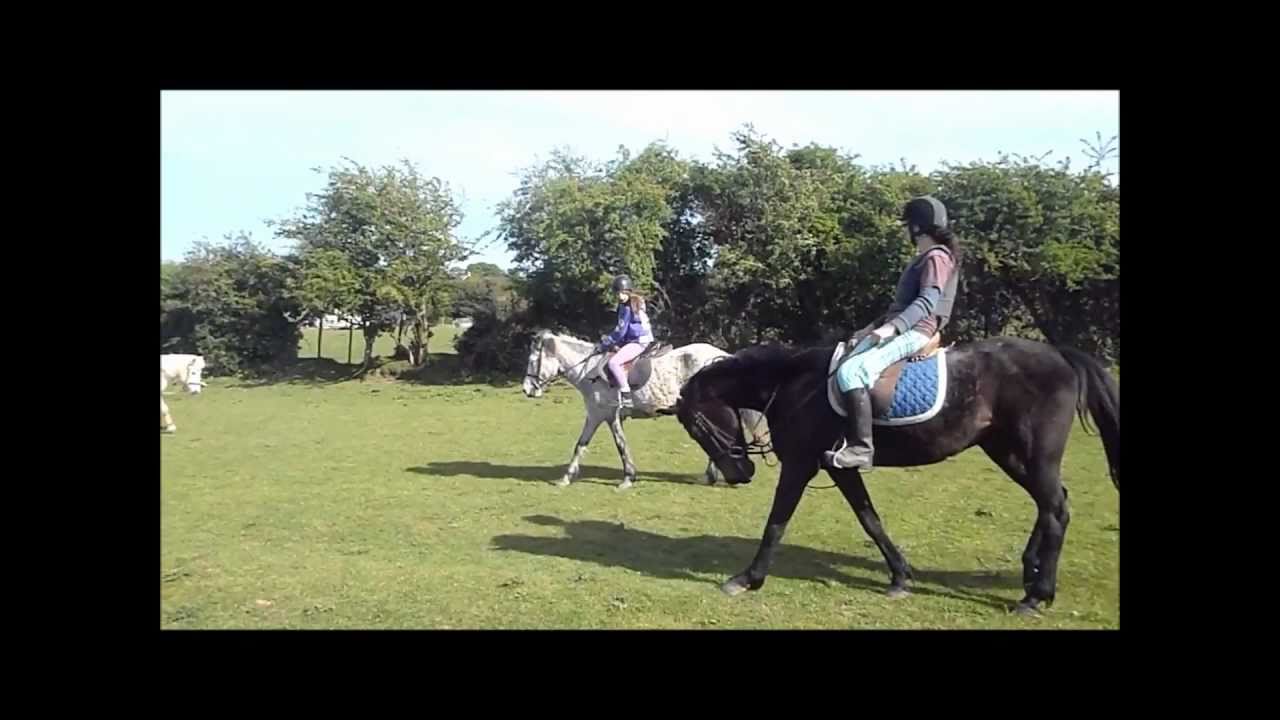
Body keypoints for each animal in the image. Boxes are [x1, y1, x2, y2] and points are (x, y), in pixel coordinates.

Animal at [522, 330, 767, 490]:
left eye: (533, 361)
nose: (526, 389)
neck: (589, 370)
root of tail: (723, 355)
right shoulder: (595, 415)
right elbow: (580, 445)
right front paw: (566, 478)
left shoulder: (610, 416)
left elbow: (621, 446)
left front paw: (628, 478)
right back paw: (711, 475)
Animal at [667, 336, 1118, 615]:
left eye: (696, 426)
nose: (739, 473)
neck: (795, 383)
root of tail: (1059, 355)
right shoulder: (838, 467)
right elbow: (870, 519)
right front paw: (900, 577)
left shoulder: (799, 464)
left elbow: (776, 522)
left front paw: (748, 578)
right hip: (1009, 453)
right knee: (1050, 504)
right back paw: (1032, 574)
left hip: (1031, 454)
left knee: (1055, 510)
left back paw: (1036, 594)